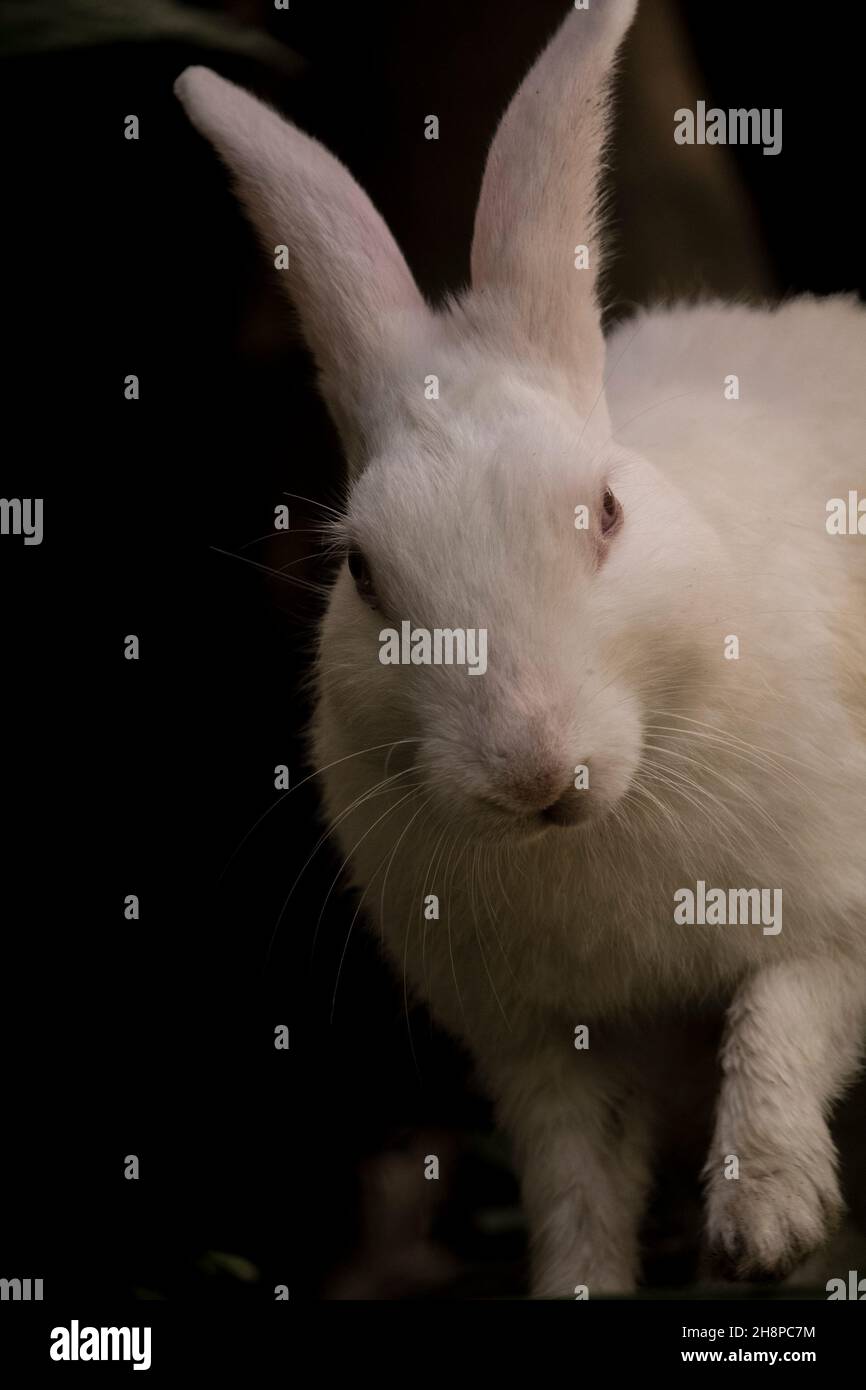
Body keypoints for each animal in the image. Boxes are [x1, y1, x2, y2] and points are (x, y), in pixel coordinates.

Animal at [176, 0, 866, 1297]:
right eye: (363, 573)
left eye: (603, 513)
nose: (532, 769)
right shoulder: (541, 1049)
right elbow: (574, 1182)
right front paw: (579, 1285)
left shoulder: (827, 908)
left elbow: (782, 1022)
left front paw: (764, 1222)